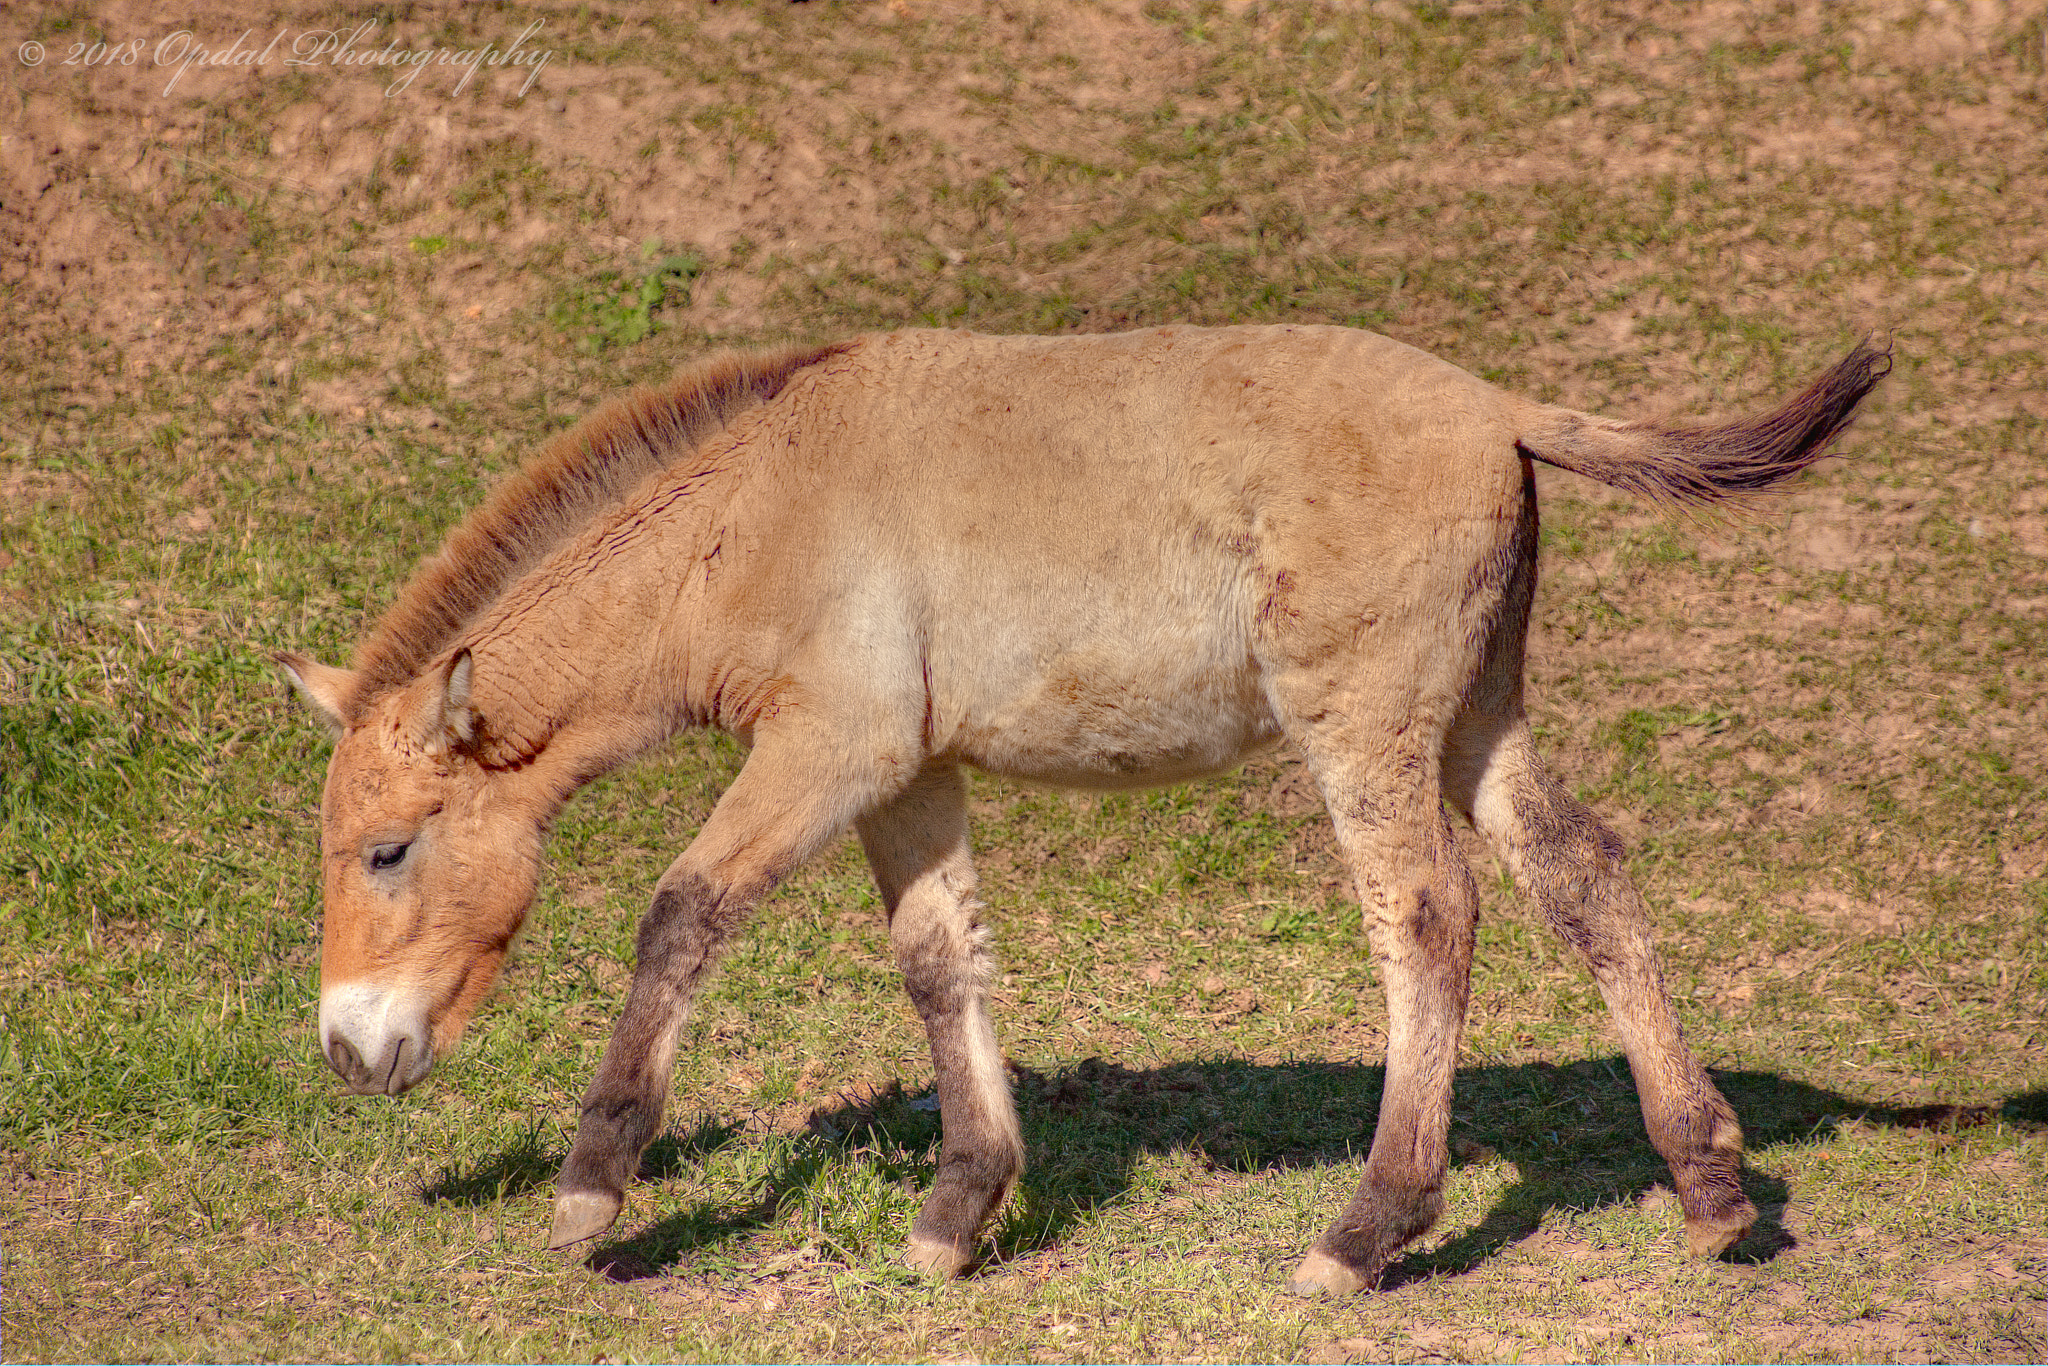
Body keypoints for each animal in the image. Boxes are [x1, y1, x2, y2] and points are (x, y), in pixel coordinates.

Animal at [279, 323, 1886, 1294]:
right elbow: (942, 963)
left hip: (1365, 729)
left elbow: (683, 913)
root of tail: (1500, 410)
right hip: (1474, 720)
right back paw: (1709, 1183)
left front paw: (593, 1188)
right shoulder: (906, 775)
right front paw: (958, 1208)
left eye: (388, 848)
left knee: (1428, 918)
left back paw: (1365, 1229)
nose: (350, 1052)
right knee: (1586, 878)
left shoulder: (827, 754)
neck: (757, 514)